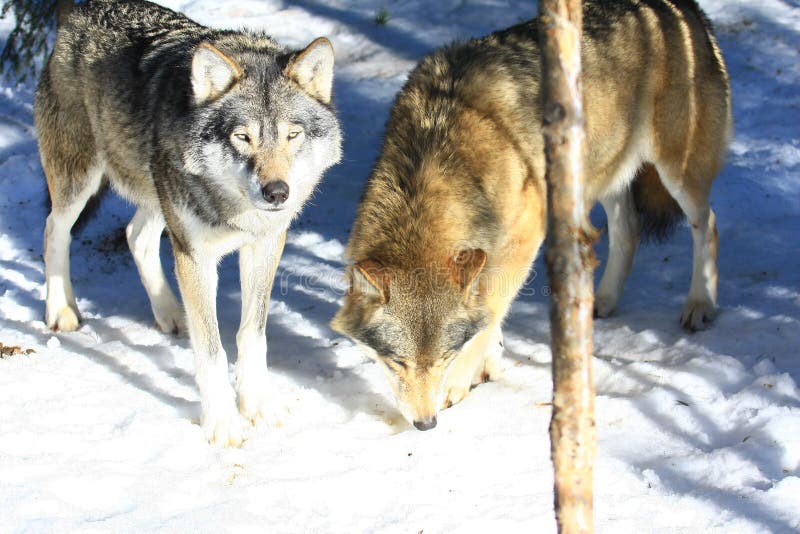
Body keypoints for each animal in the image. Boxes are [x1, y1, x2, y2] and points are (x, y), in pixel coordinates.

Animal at [36, 0, 342, 445]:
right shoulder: (196, 256)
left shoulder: (264, 246)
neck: (234, 208)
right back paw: (61, 311)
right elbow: (212, 352)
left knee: (135, 236)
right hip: (81, 181)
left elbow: (252, 334)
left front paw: (257, 406)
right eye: (242, 137)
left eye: (292, 135)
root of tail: (78, 11)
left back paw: (171, 312)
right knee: (54, 231)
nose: (277, 192)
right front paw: (223, 425)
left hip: (156, 198)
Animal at [332, 0, 731, 430]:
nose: (425, 424)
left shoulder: (522, 239)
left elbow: (490, 309)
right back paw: (603, 301)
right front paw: (489, 361)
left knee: (708, 225)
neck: (442, 165)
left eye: (443, 358)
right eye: (397, 362)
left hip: (677, 173)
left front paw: (460, 382)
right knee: (629, 228)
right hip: (599, 175)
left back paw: (700, 304)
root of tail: (682, 7)